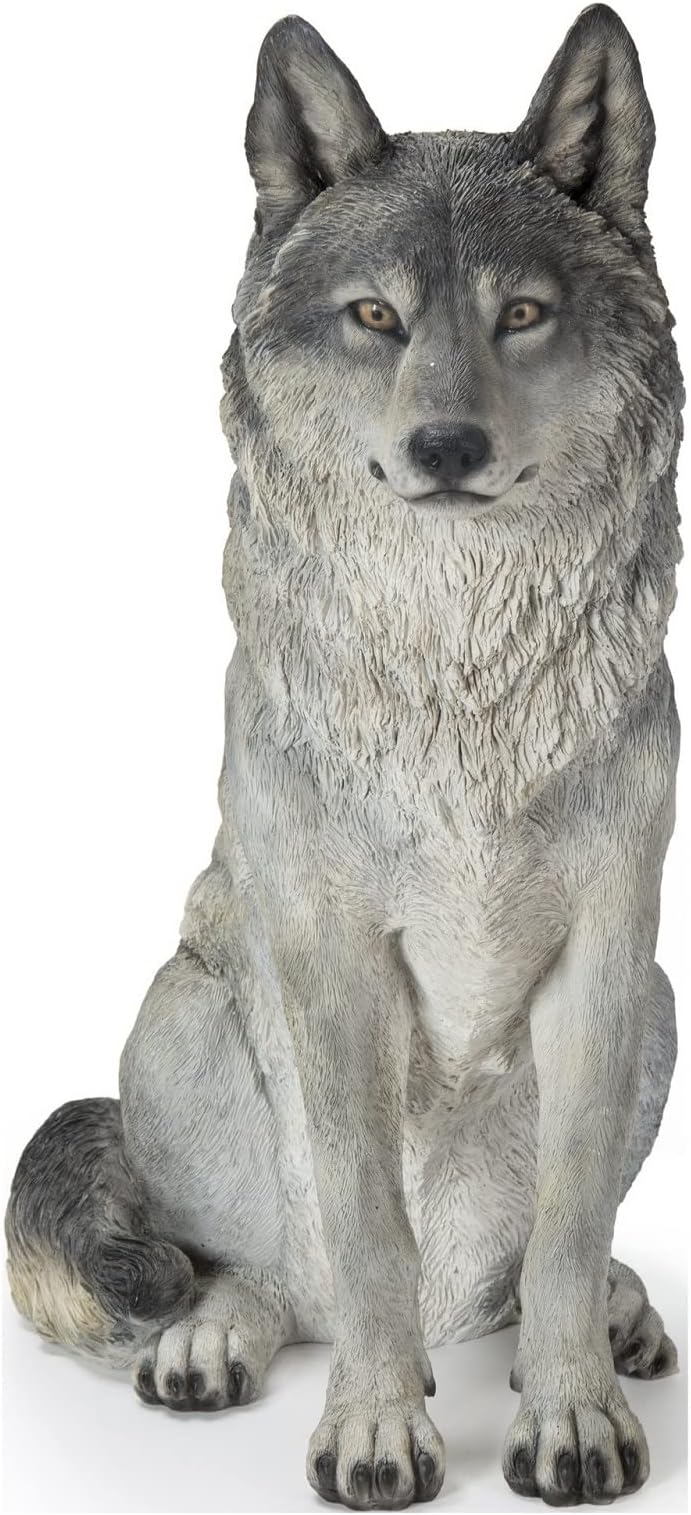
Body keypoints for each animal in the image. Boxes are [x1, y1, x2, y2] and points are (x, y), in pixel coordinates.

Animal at [6, 5, 683, 1508]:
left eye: (519, 313)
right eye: (376, 316)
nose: (446, 444)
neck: (459, 670)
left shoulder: (608, 957)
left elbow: (561, 1236)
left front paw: (570, 1413)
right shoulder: (335, 963)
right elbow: (368, 1232)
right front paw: (376, 1428)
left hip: (661, 1013)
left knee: (518, 1276)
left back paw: (599, 1317)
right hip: (177, 1010)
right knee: (274, 1276)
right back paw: (217, 1340)